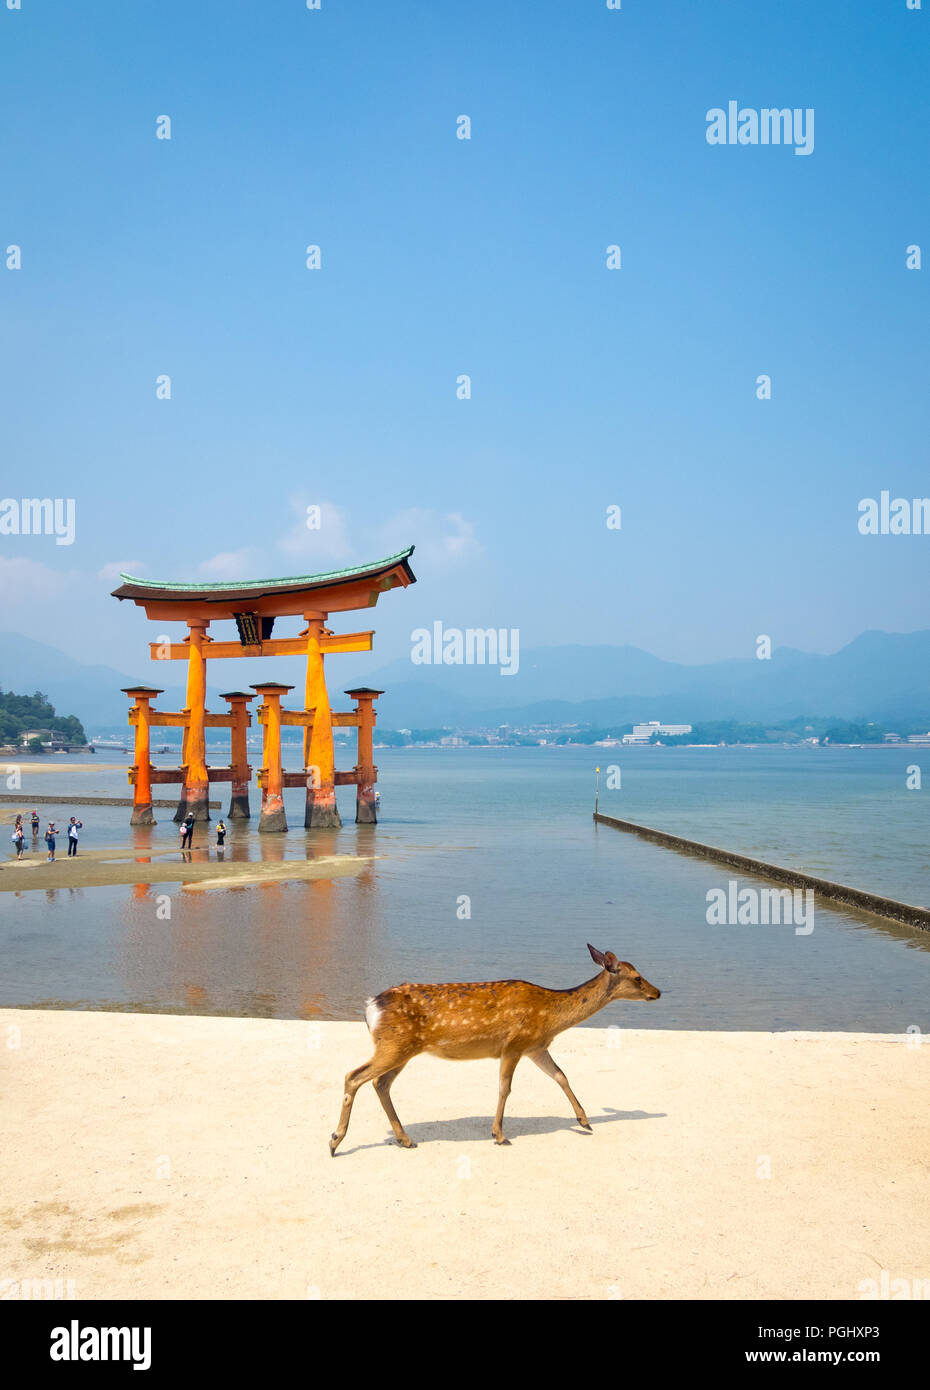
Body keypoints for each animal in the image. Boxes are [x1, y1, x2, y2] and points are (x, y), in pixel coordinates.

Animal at [329, 944, 661, 1154]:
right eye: (637, 977)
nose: (657, 992)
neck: (551, 1016)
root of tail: (371, 1007)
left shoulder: (536, 1047)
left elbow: (561, 1076)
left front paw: (585, 1121)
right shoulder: (514, 1044)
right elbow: (505, 1088)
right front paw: (499, 1135)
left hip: (402, 1049)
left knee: (379, 1082)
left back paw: (405, 1139)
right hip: (394, 1045)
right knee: (353, 1076)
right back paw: (335, 1141)